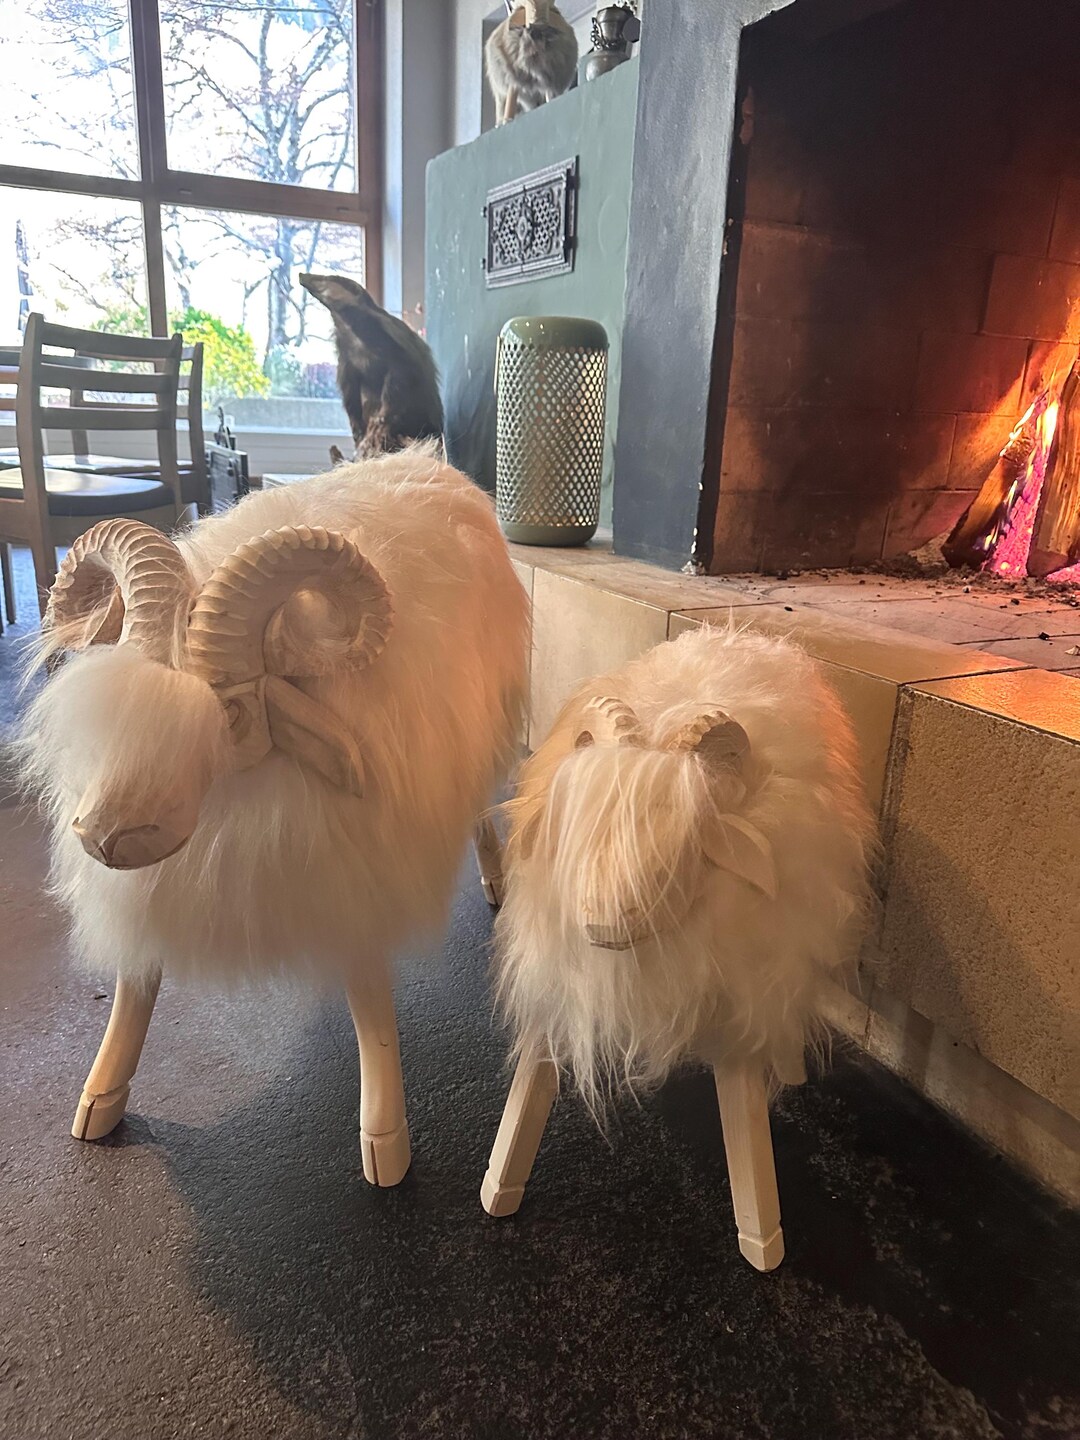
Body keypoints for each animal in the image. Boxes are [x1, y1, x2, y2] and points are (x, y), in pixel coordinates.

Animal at [18, 444, 529, 1186]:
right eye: (121, 681)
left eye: (232, 713)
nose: (107, 836)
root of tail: (431, 461)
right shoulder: (159, 879)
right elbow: (135, 985)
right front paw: (102, 1094)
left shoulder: (357, 862)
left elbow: (369, 995)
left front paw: (386, 1137)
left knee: (482, 813)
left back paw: (494, 878)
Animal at [480, 624, 875, 1268]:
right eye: (580, 819)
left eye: (691, 837)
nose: (605, 921)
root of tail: (754, 642)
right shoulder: (558, 981)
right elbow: (526, 1101)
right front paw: (500, 1188)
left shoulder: (740, 997)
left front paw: (762, 1242)